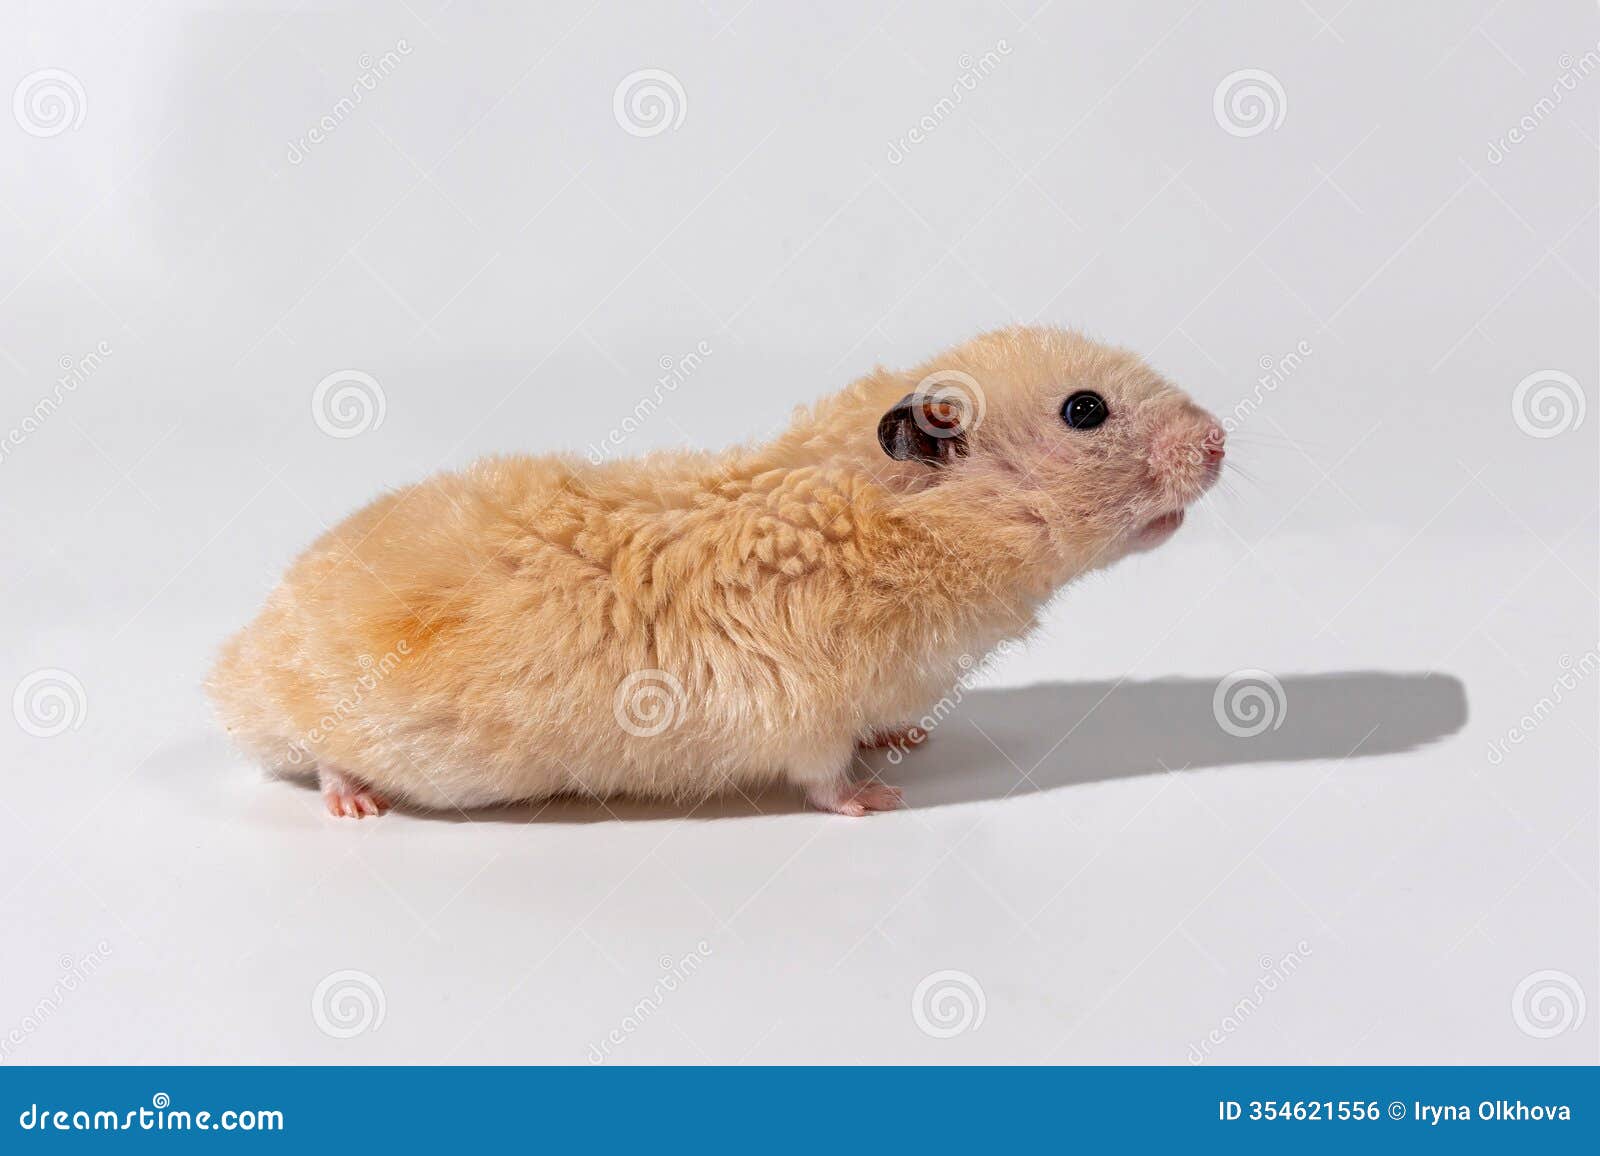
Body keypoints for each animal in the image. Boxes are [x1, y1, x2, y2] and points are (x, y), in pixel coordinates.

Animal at [206, 326, 1225, 818]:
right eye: (1086, 410)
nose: (1220, 440)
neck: (896, 523)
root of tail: (237, 665)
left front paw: (907, 740)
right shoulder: (804, 707)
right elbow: (823, 775)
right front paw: (878, 799)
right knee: (321, 758)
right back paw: (354, 805)